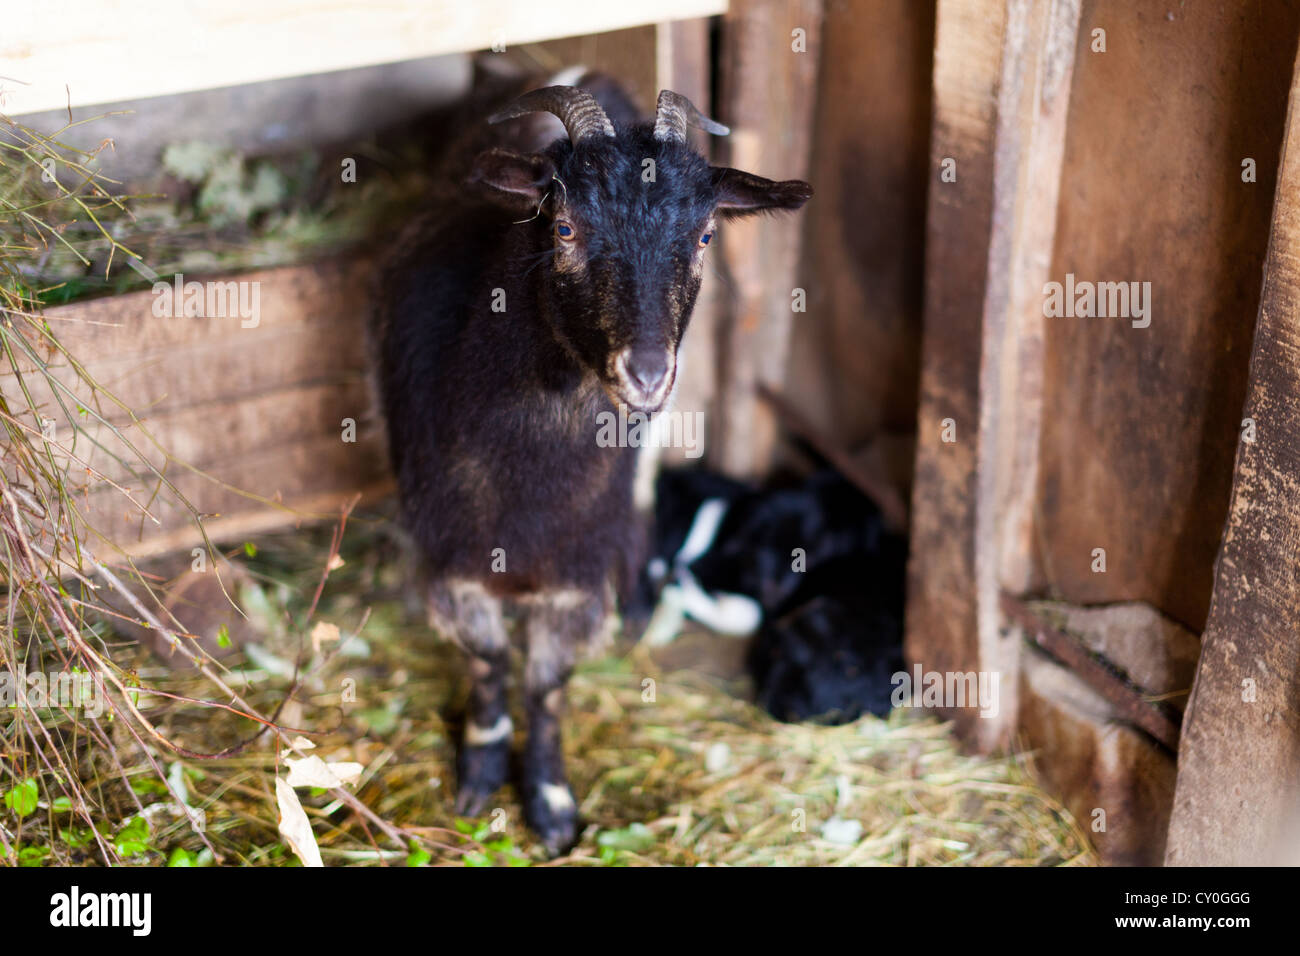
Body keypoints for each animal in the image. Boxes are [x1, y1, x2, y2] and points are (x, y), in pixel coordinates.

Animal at [369, 79, 811, 854]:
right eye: (566, 228)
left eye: (704, 236)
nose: (647, 374)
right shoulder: (452, 560)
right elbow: (489, 663)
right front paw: (481, 771)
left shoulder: (576, 576)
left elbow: (547, 687)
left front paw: (549, 803)